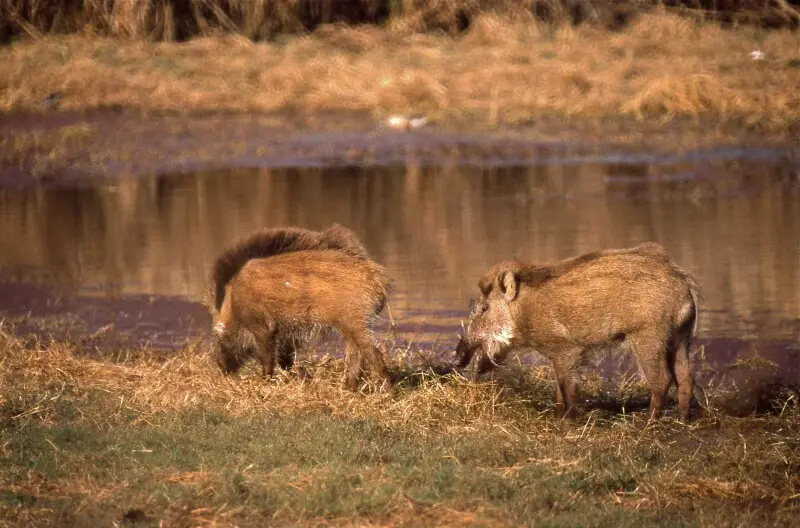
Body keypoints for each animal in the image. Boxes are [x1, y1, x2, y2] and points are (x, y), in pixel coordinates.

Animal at [454, 242, 699, 421]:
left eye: (485, 308)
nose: (457, 357)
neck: (524, 310)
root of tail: (684, 285)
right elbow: (558, 389)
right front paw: (558, 416)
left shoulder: (566, 349)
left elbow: (567, 387)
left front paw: (568, 420)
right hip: (681, 336)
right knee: (685, 377)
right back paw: (683, 420)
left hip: (648, 336)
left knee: (662, 380)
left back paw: (648, 424)